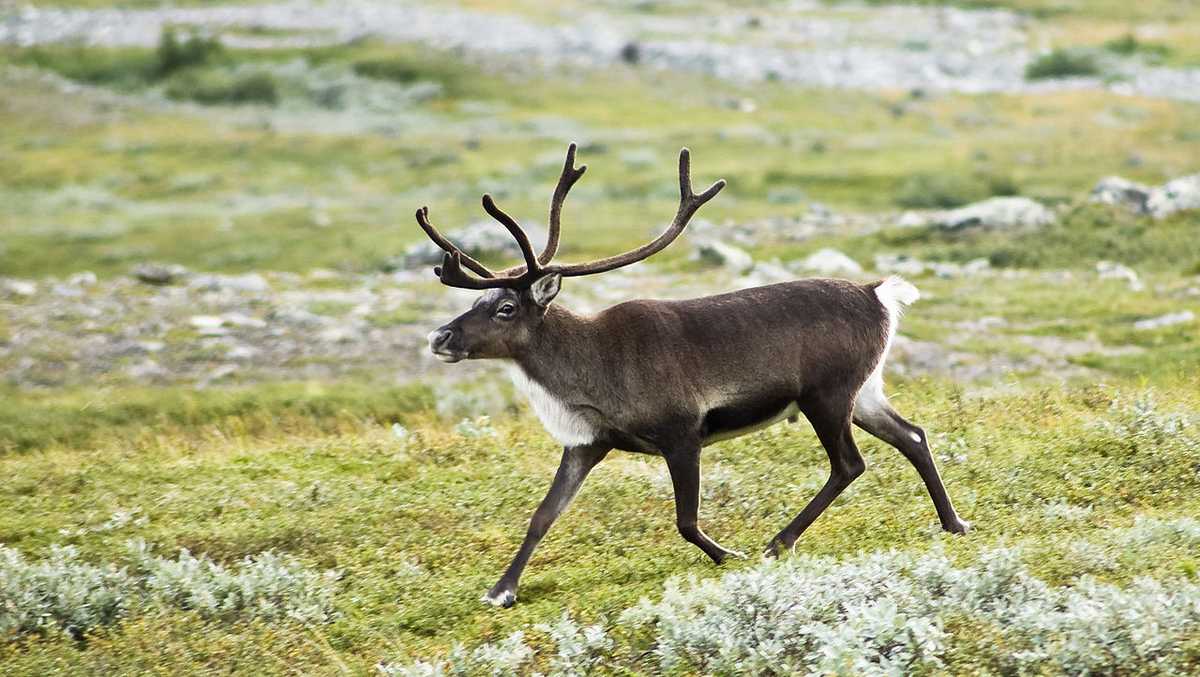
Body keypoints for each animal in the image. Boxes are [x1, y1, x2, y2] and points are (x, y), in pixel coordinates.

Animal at [419, 144, 970, 607]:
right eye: (479, 301)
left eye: (506, 308)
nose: (440, 337)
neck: (589, 368)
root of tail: (879, 294)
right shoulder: (588, 442)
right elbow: (541, 515)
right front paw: (501, 590)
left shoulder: (682, 432)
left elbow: (685, 520)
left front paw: (730, 555)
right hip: (864, 392)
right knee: (913, 436)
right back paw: (953, 523)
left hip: (826, 395)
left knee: (849, 464)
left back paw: (778, 542)